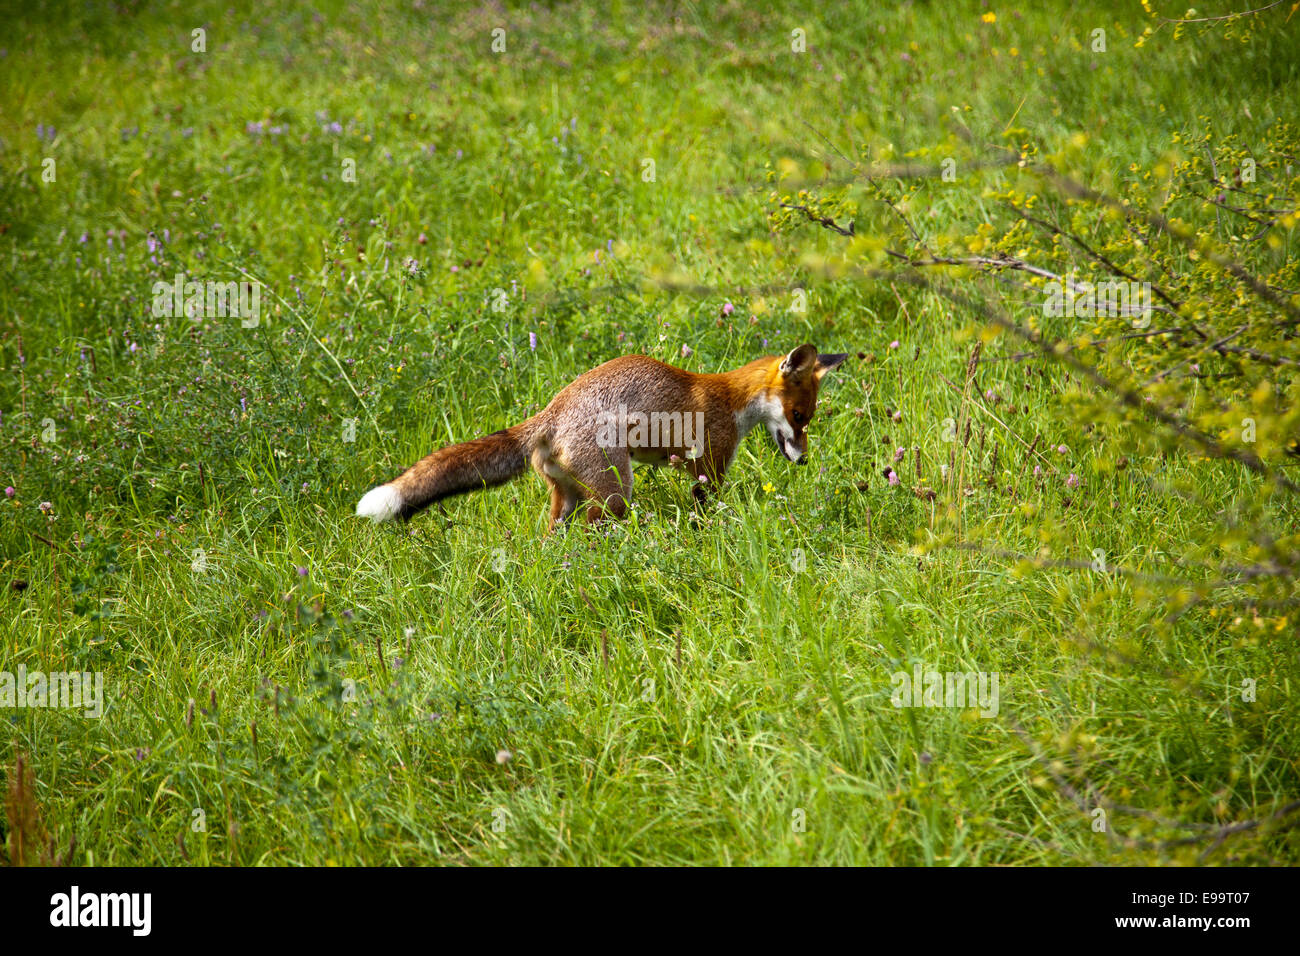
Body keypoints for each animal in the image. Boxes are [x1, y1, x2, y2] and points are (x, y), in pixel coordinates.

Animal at [355, 343, 848, 531]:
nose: (803, 460)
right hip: (615, 493)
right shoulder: (707, 466)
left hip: (566, 500)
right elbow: (707, 507)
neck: (730, 398)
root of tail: (550, 413)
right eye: (798, 416)